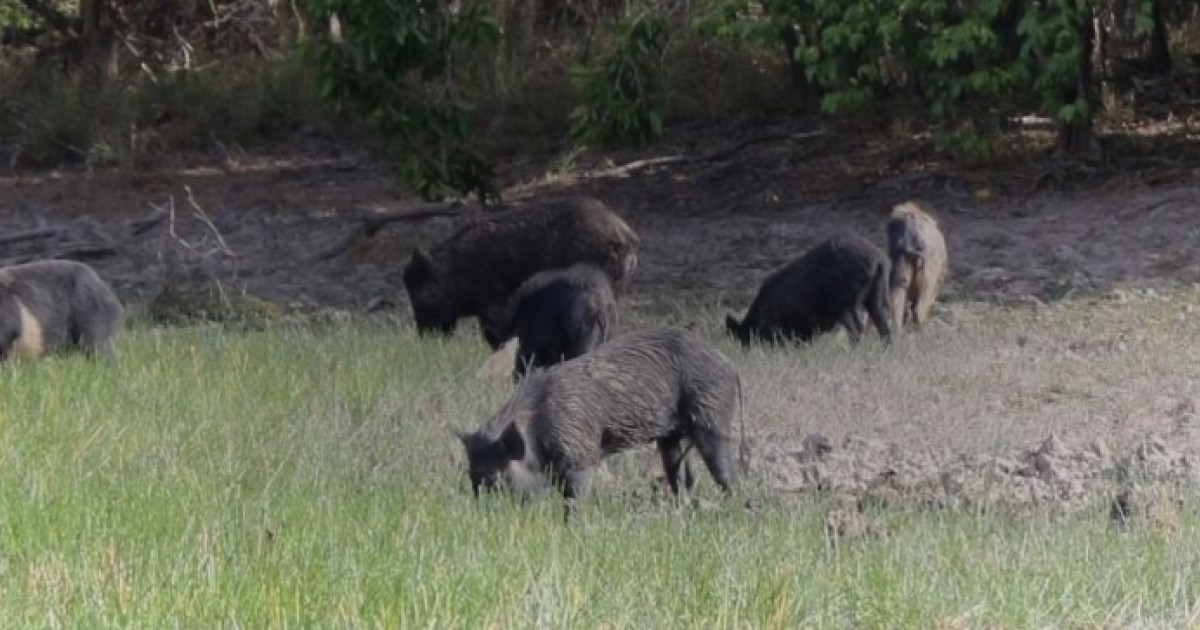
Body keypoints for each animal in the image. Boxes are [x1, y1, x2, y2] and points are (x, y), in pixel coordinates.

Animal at [455, 326, 746, 521]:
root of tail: (730, 365)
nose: (480, 520)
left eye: (496, 478)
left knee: (725, 473)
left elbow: (574, 500)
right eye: (472, 478)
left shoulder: (581, 455)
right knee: (682, 476)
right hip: (672, 437)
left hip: (712, 416)